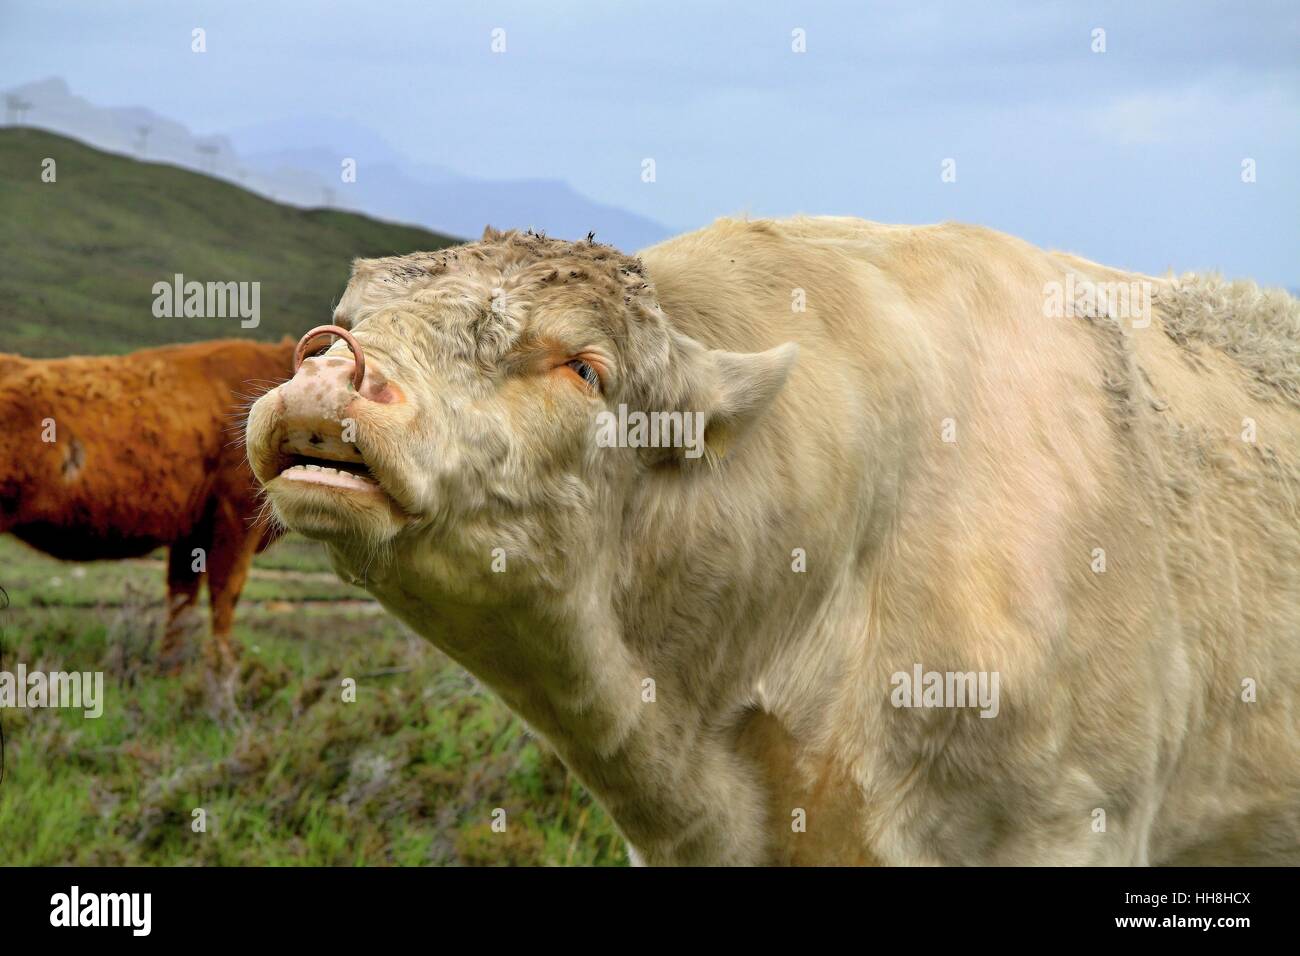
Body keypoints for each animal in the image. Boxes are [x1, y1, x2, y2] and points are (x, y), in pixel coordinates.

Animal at [1, 338, 296, 678]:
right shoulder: (237, 519)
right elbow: (224, 595)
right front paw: (222, 672)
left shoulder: (191, 533)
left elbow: (182, 600)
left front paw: (171, 671)